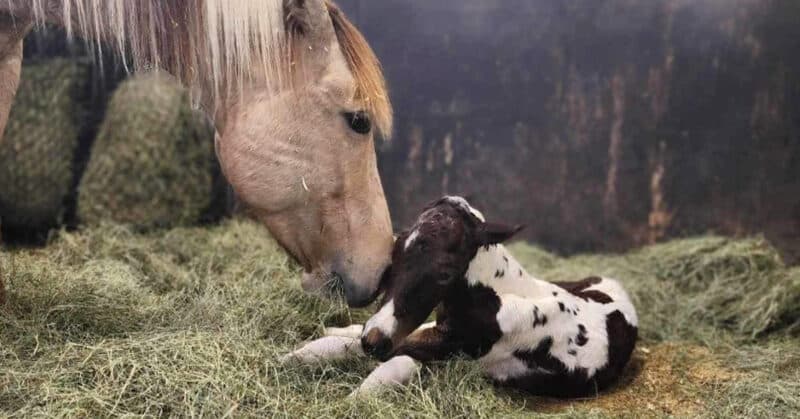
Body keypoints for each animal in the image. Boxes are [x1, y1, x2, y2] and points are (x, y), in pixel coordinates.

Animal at [283, 196, 638, 397]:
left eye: (445, 273)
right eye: (395, 250)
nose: (376, 339)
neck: (498, 297)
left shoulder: (444, 347)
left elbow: (390, 366)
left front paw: (350, 396)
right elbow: (353, 345)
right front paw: (296, 355)